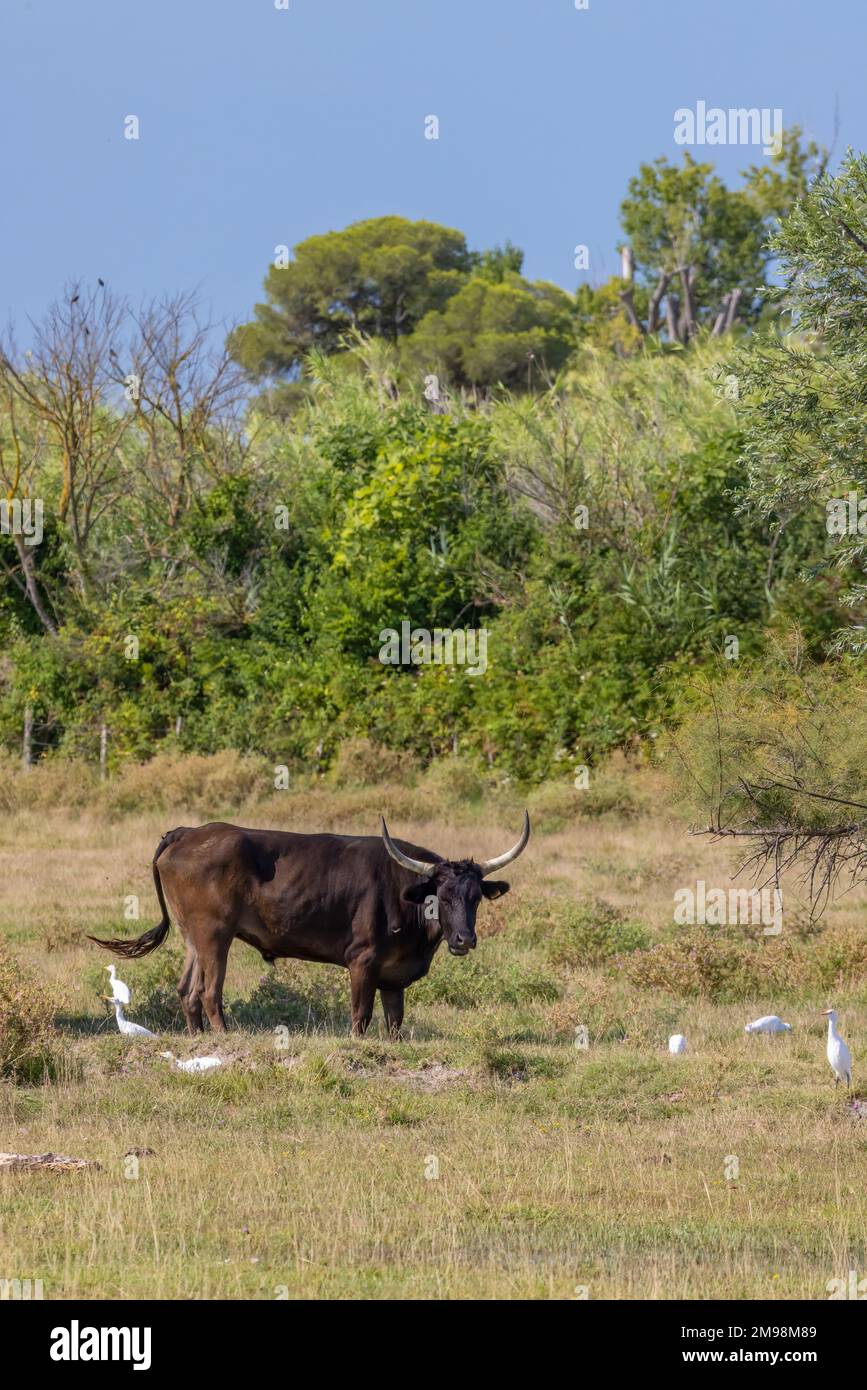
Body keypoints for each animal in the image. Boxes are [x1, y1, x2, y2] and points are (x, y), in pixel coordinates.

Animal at [89, 813, 530, 1038]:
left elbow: (394, 1022)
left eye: (475, 897)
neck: (404, 893)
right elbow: (360, 1017)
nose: (464, 939)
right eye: (440, 896)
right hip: (216, 935)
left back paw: (197, 1036)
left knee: (186, 989)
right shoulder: (363, 962)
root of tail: (188, 832)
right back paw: (225, 1035)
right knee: (209, 991)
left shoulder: (394, 977)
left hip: (193, 938)